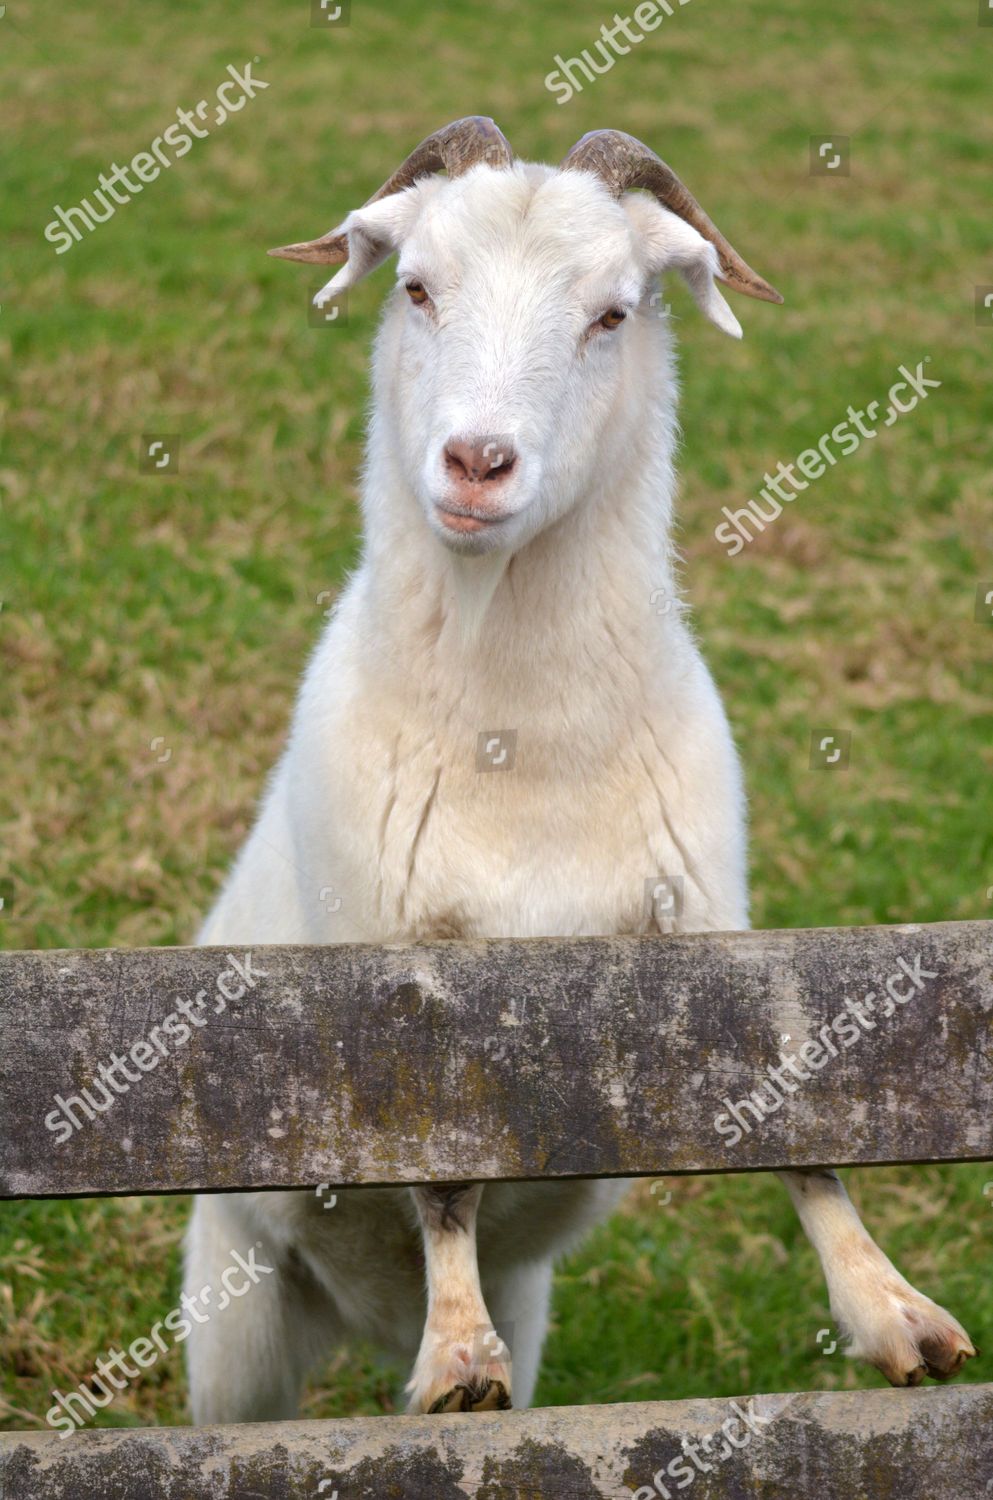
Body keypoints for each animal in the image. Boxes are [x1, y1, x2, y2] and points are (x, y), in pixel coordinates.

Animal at [184, 118, 975, 1421]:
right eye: (416, 288)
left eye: (612, 313)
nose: (477, 463)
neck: (527, 755)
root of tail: (363, 1315)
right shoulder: (398, 962)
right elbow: (442, 1161)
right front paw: (458, 1359)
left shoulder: (703, 926)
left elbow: (797, 1123)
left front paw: (893, 1311)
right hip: (237, 1316)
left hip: (529, 1293)